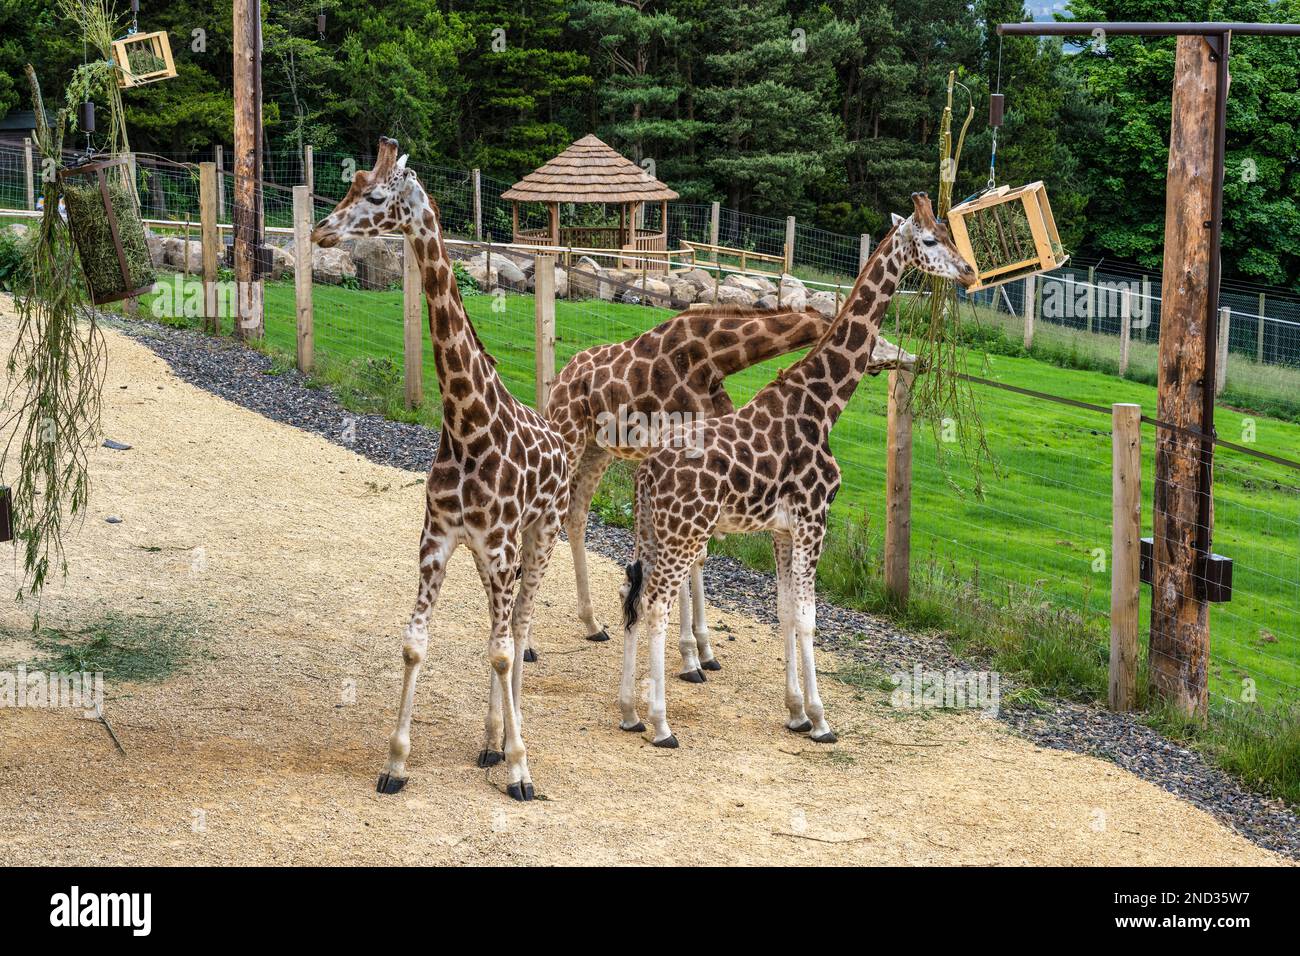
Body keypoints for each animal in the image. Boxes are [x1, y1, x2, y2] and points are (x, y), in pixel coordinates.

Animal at [311, 137, 568, 800]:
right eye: (349, 185)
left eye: (377, 195)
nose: (321, 232)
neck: (467, 422)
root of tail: (561, 439)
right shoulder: (439, 539)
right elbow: (414, 643)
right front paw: (396, 763)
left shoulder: (503, 544)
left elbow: (504, 650)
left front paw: (522, 769)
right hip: (487, 555)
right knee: (498, 630)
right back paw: (489, 741)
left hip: (541, 535)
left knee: (519, 629)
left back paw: (510, 744)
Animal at [544, 305, 915, 681]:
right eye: (881, 339)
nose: (914, 360)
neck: (715, 359)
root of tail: (564, 373)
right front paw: (690, 658)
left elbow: (699, 559)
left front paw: (704, 651)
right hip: (569, 431)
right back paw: (535, 642)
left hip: (598, 449)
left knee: (576, 514)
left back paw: (592, 624)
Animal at [617, 193, 974, 747]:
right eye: (932, 239)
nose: (969, 271)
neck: (823, 405)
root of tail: (648, 473)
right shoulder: (813, 519)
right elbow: (807, 619)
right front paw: (822, 720)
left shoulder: (782, 530)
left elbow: (786, 613)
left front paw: (796, 713)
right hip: (685, 532)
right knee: (655, 605)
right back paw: (660, 723)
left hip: (651, 529)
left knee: (634, 599)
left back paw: (630, 712)